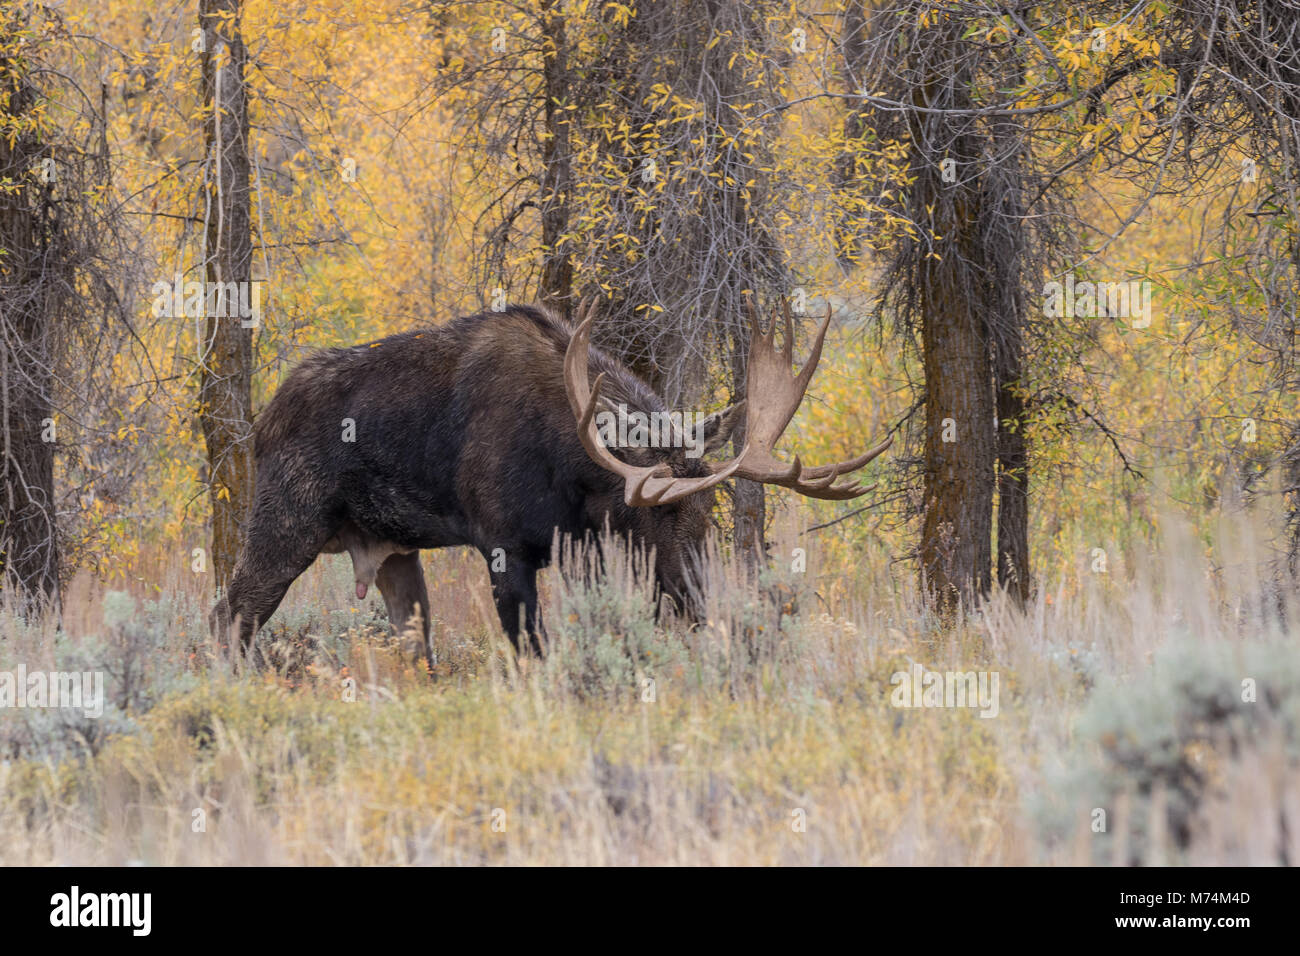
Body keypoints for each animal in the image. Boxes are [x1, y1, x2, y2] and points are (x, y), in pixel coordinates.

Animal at [210, 298, 891, 661]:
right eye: (656, 511)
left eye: (707, 517)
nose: (702, 600)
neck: (570, 470)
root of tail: (261, 423)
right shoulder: (501, 542)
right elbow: (530, 650)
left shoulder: (582, 545)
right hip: (286, 520)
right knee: (229, 614)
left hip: (395, 551)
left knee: (413, 640)